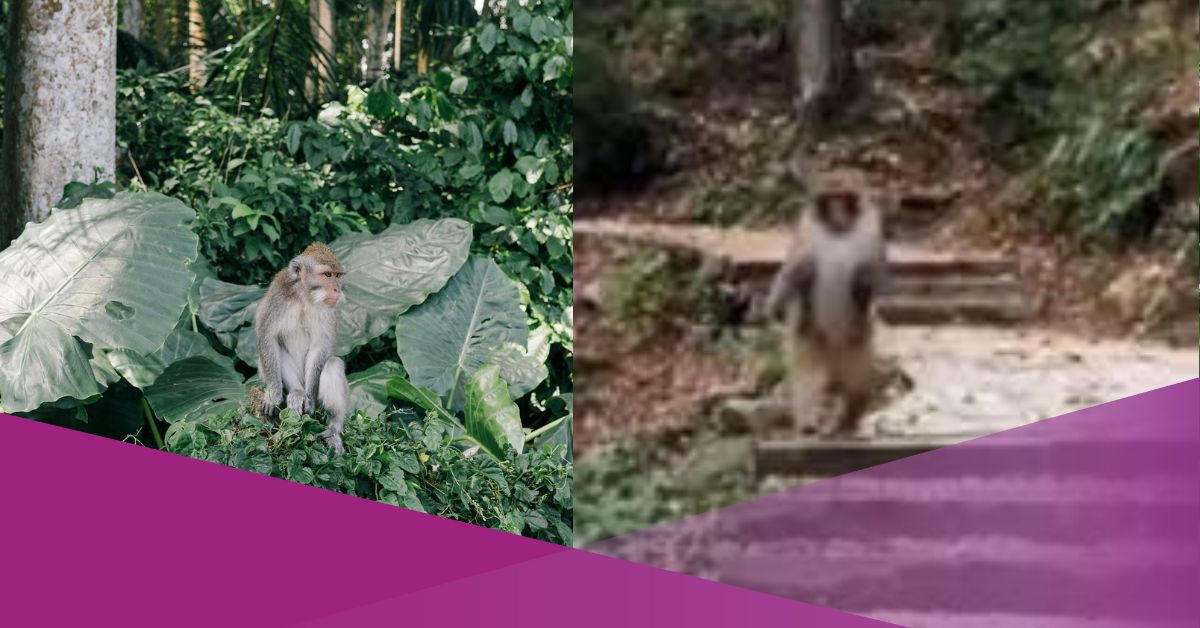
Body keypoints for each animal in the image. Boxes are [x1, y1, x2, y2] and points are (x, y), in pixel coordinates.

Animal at [254, 243, 351, 454]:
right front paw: (274, 394)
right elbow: (267, 335)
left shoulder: (329, 312)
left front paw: (310, 399)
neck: (306, 296)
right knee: (278, 350)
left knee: (333, 364)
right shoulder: (278, 295)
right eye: (327, 275)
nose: (336, 289)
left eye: (337, 275)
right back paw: (297, 392)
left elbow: (320, 346)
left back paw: (334, 428)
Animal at [764, 171, 887, 438]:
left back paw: (847, 422)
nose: (836, 210)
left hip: (854, 343)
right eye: (829, 198)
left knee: (858, 382)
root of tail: (834, 347)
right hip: (811, 332)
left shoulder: (872, 227)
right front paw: (776, 305)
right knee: (809, 374)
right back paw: (809, 425)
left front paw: (863, 280)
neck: (839, 230)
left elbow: (873, 276)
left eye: (842, 197)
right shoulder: (805, 227)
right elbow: (794, 269)